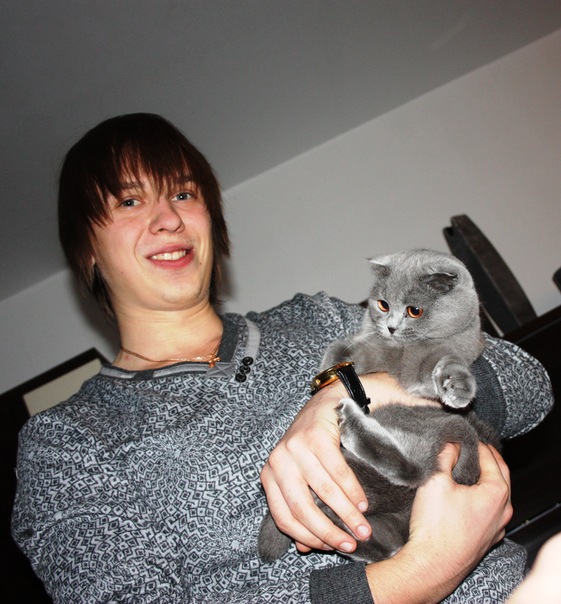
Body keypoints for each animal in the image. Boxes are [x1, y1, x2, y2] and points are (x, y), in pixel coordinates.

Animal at [258, 249, 500, 563]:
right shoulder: (356, 343)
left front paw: (456, 386)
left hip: (415, 419)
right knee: (387, 545)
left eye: (414, 311)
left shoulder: (431, 362)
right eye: (383, 304)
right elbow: (337, 351)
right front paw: (323, 375)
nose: (391, 327)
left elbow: (441, 363)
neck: (394, 347)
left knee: (413, 470)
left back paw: (350, 420)